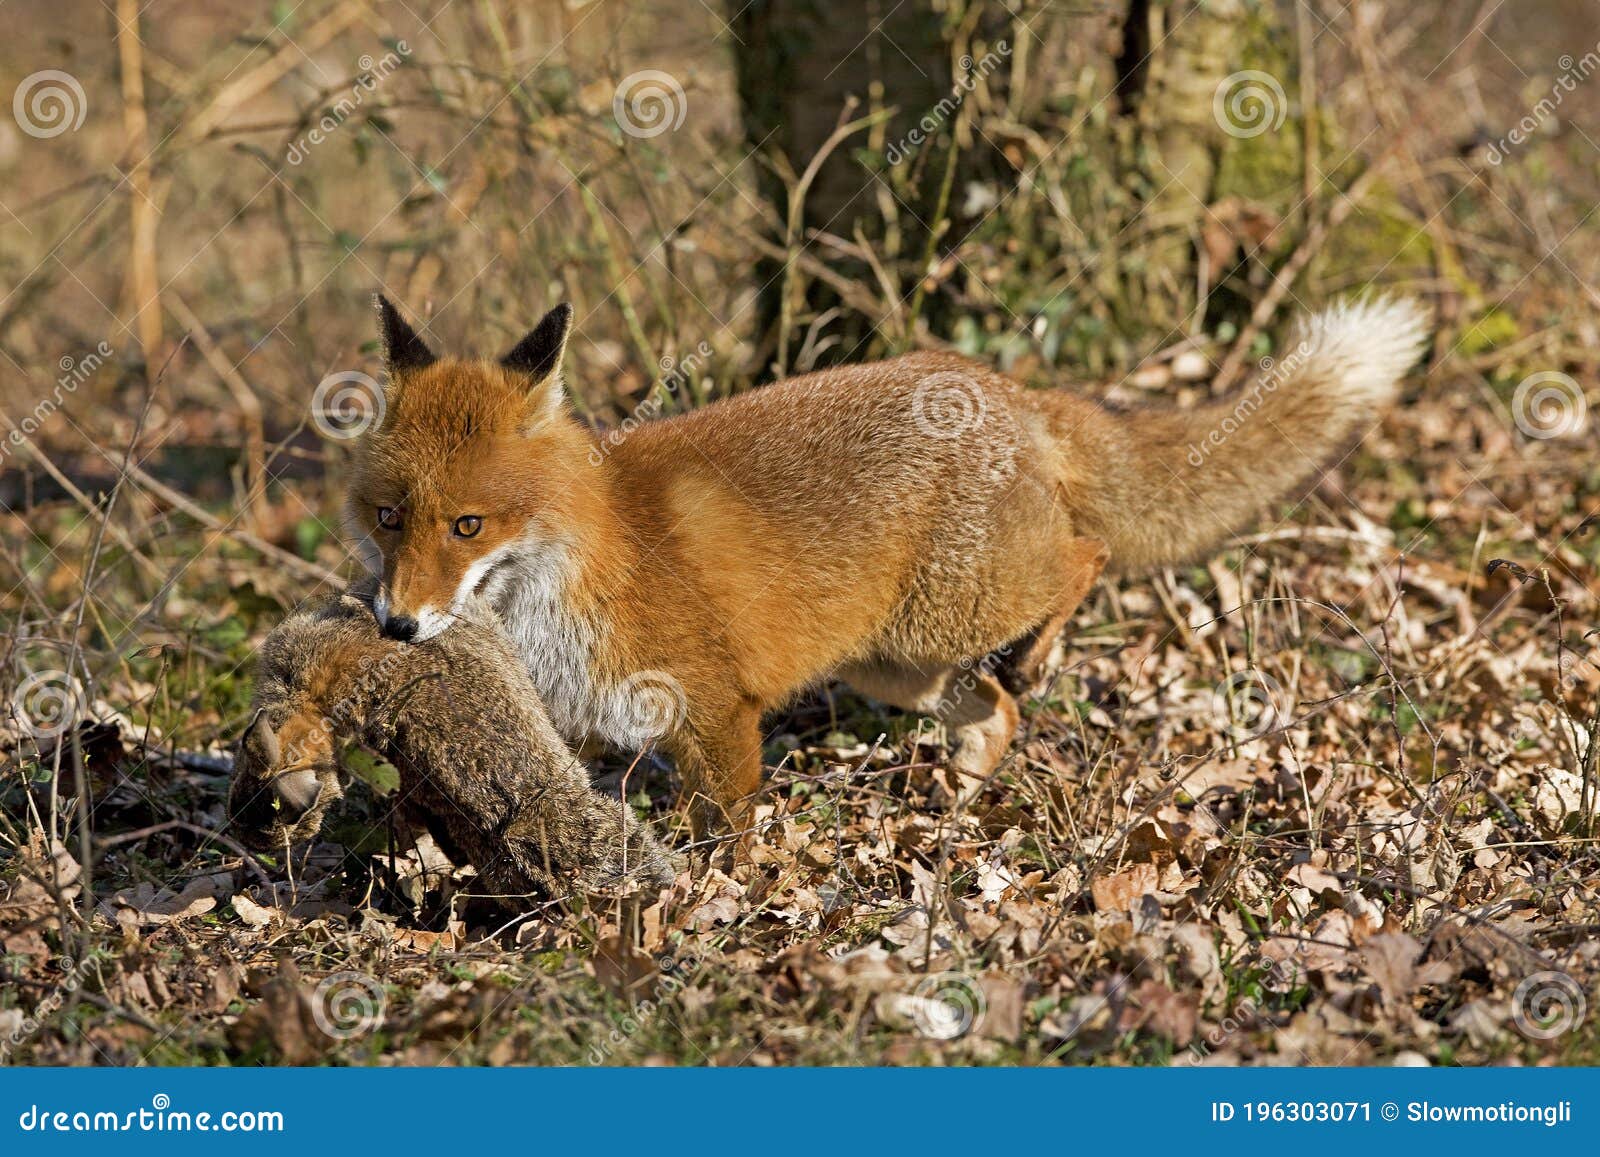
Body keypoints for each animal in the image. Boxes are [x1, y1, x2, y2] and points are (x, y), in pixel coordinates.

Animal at [348, 294, 1431, 838]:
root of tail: (1003, 387)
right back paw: (961, 793)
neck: (579, 566)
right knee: (992, 708)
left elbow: (723, 840)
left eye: (470, 524)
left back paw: (1039, 654)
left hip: (950, 614)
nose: (395, 624)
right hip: (893, 666)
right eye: (390, 516)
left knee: (1084, 557)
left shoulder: (717, 711)